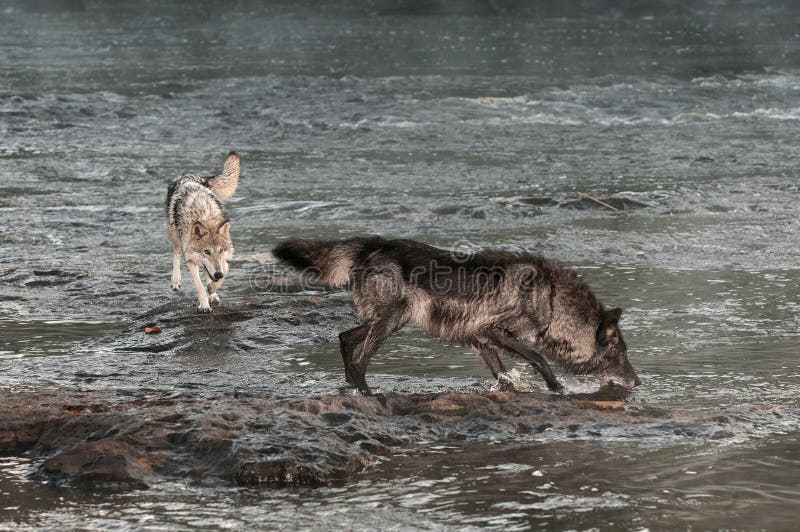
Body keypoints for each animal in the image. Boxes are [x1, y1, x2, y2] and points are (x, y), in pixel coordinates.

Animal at [166, 151, 240, 313]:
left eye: (220, 250)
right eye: (206, 251)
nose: (218, 274)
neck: (203, 216)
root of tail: (187, 175)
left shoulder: (222, 261)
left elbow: (226, 268)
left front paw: (213, 288)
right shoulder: (191, 260)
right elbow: (200, 287)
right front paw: (205, 305)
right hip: (174, 235)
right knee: (176, 251)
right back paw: (175, 281)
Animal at [272, 237, 641, 395]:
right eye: (621, 356)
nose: (638, 382)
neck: (551, 299)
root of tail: (369, 245)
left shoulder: (483, 342)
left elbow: (503, 376)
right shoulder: (495, 333)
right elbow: (538, 358)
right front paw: (557, 388)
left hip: (391, 320)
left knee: (345, 338)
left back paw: (351, 383)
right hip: (390, 322)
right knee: (361, 358)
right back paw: (366, 391)